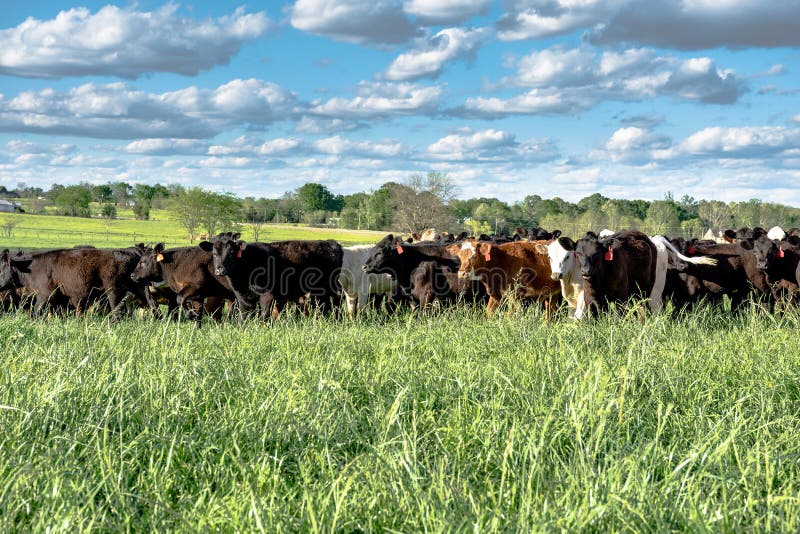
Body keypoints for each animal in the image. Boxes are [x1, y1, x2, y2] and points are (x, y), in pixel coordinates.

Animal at [201, 233, 343, 320]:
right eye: (214, 253)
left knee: (336, 304)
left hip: (329, 290)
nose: (220, 269)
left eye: (231, 253)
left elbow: (264, 315)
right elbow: (244, 316)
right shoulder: (242, 297)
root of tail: (331, 242)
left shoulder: (267, 295)